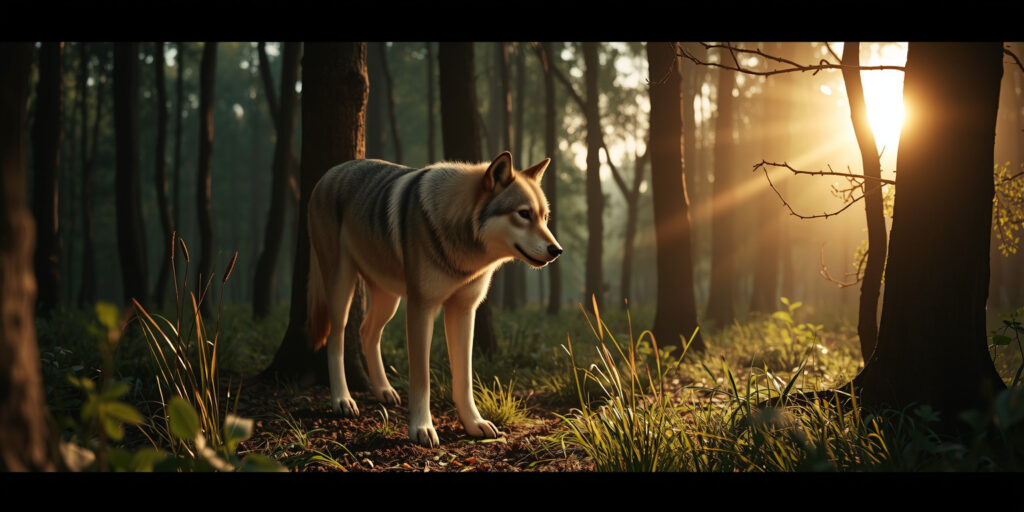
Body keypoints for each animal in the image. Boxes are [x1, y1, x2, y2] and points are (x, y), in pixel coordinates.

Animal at [306, 151, 562, 447]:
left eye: (544, 217)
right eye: (523, 214)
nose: (557, 250)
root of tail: (329, 173)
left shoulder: (464, 310)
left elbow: (464, 377)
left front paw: (474, 424)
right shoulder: (421, 307)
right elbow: (422, 379)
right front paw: (422, 429)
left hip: (388, 299)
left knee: (366, 331)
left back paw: (384, 390)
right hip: (342, 287)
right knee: (336, 337)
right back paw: (343, 400)